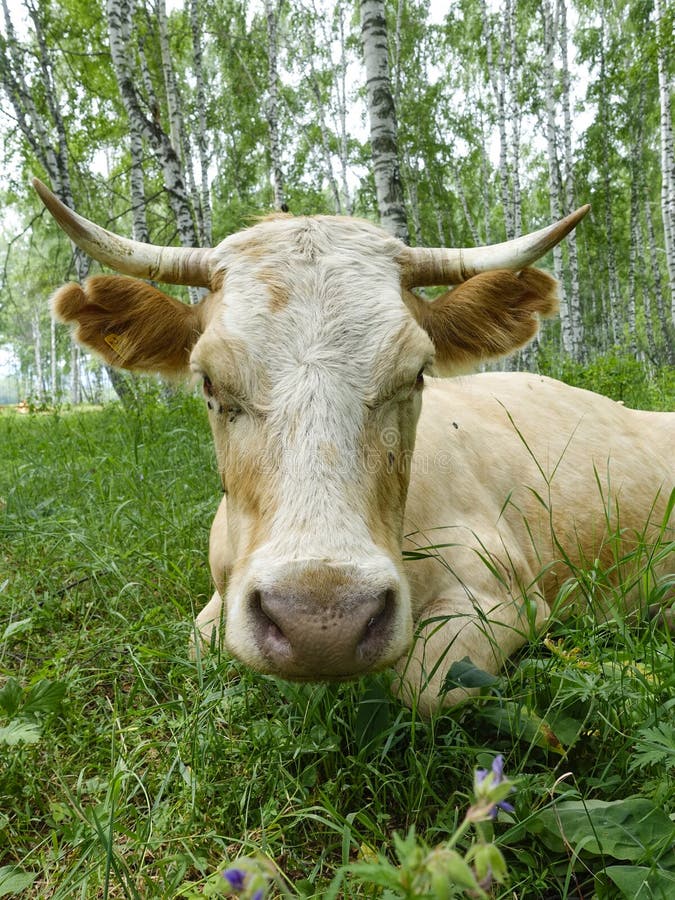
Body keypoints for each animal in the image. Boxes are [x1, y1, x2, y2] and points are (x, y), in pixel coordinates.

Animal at [34, 178, 674, 715]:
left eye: (416, 374)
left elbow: (424, 687)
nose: (322, 623)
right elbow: (199, 648)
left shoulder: (504, 592)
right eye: (209, 382)